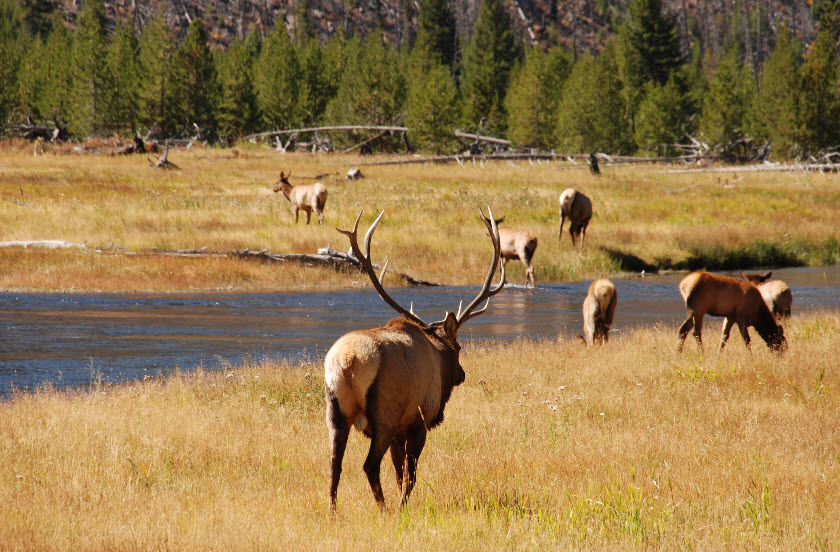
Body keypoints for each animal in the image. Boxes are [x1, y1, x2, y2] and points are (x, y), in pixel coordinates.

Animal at [324, 208, 505, 513]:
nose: (462, 374)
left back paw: (334, 512)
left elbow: (399, 472)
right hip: (383, 416)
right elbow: (410, 473)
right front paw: (403, 506)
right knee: (369, 465)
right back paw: (385, 509)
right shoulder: (418, 420)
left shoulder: (401, 429)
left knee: (334, 465)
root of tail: (348, 361)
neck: (438, 355)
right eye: (459, 348)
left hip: (336, 412)